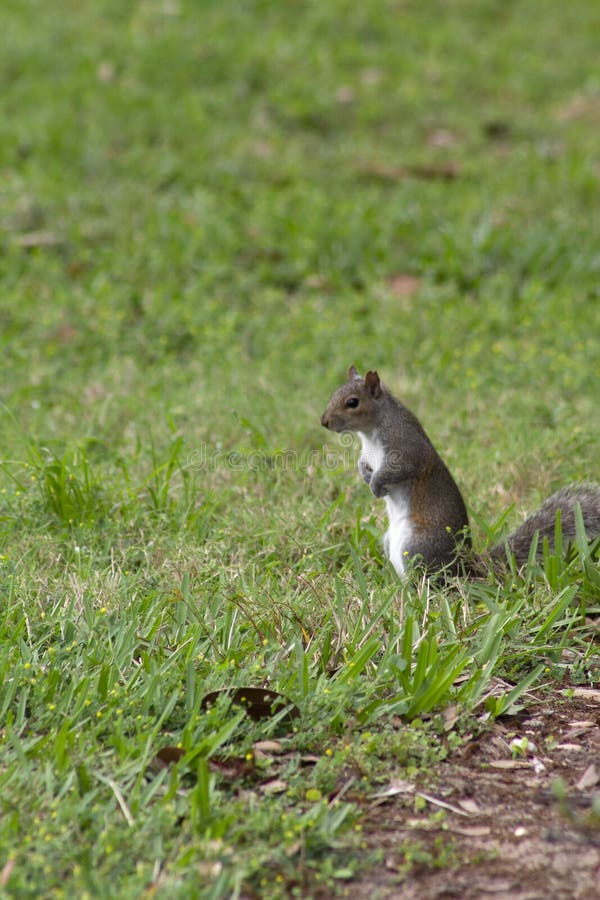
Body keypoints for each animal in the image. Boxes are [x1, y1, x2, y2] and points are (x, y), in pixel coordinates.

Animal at [320, 366, 600, 578]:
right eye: (333, 393)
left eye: (352, 402)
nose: (324, 422)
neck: (370, 432)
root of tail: (465, 567)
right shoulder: (367, 455)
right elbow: (362, 464)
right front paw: (365, 477)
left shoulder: (406, 448)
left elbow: (398, 469)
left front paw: (376, 484)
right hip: (392, 542)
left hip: (417, 547)